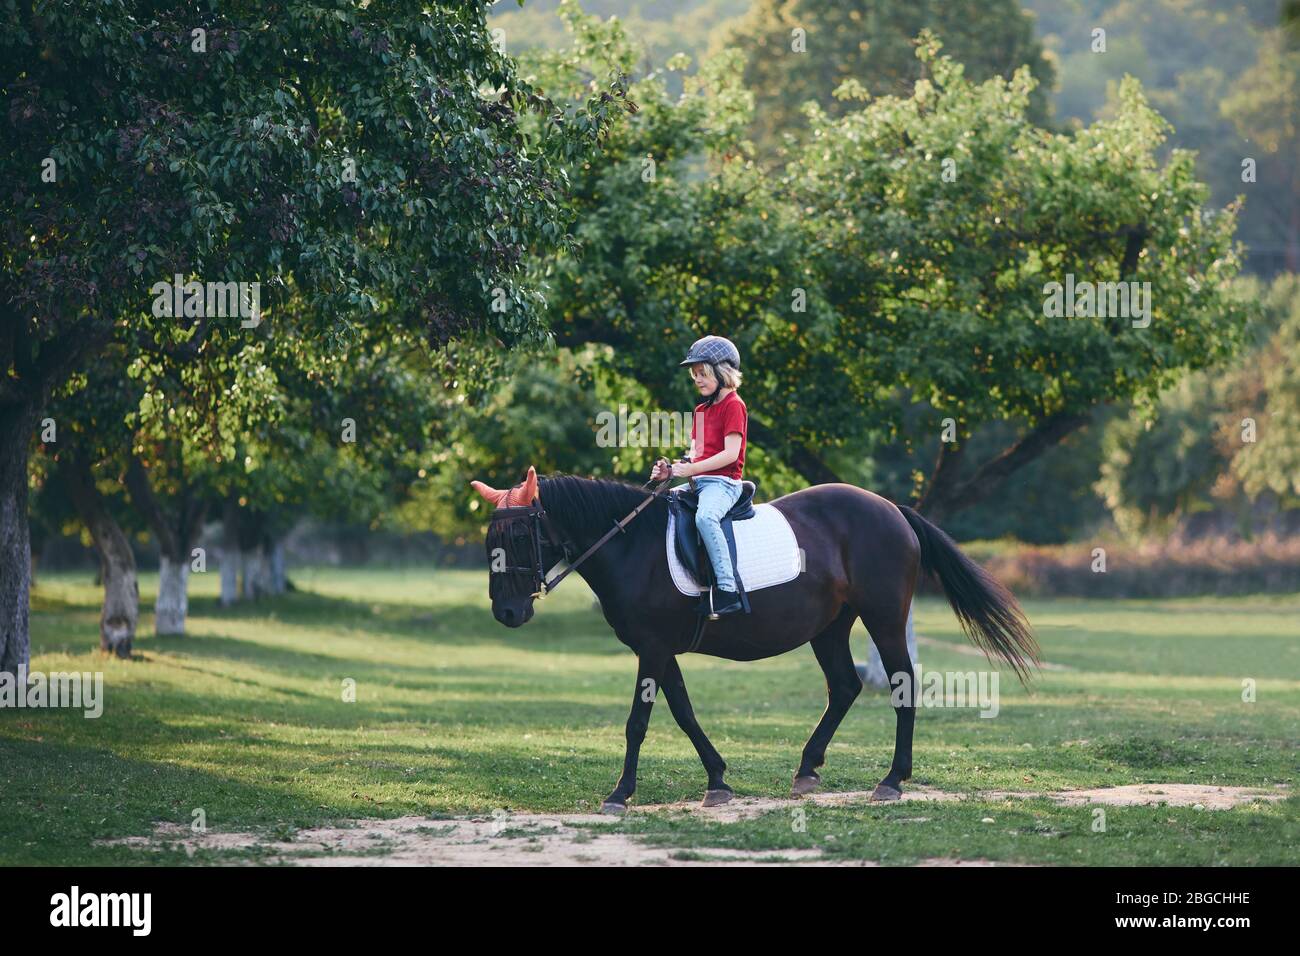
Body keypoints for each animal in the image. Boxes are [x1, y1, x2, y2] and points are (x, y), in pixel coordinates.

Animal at [473, 466, 1038, 813]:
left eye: (519, 535)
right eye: (489, 539)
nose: (507, 613)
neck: (631, 545)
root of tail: (891, 509)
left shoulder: (652, 649)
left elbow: (639, 722)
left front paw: (620, 793)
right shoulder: (660, 649)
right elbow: (684, 713)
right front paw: (718, 781)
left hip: (882, 617)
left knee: (901, 685)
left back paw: (892, 780)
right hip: (831, 626)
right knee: (844, 687)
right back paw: (807, 770)